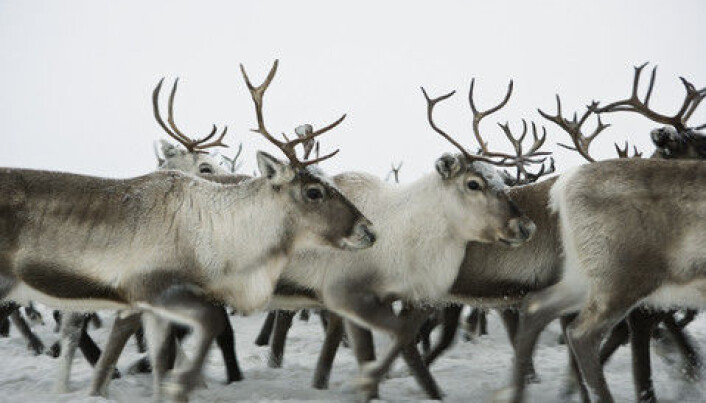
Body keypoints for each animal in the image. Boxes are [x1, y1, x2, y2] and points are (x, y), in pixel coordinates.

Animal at [0, 58, 376, 402]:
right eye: (314, 191)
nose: (369, 229)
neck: (220, 232)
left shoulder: (152, 304)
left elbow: (160, 362)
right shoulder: (154, 290)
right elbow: (190, 339)